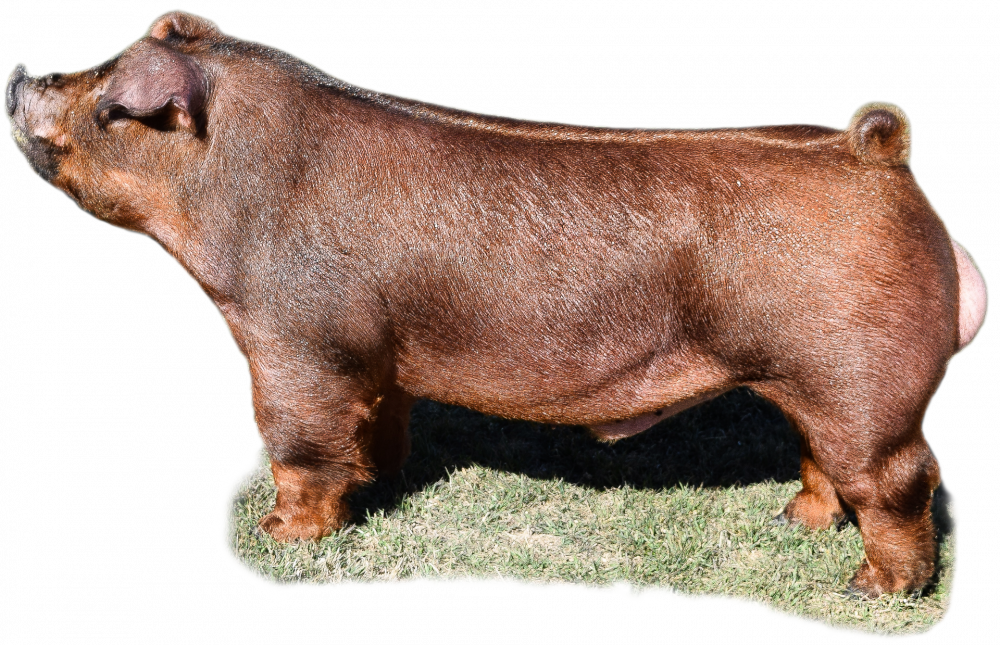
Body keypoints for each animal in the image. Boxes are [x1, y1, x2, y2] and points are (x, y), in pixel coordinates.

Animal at [4, 9, 988, 599]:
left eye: (107, 96)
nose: (21, 74)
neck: (234, 186)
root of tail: (876, 152)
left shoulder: (296, 340)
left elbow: (299, 441)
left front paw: (285, 540)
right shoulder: (375, 356)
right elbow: (377, 424)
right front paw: (380, 482)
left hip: (864, 379)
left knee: (901, 479)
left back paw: (874, 590)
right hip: (813, 380)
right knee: (824, 460)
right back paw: (793, 520)